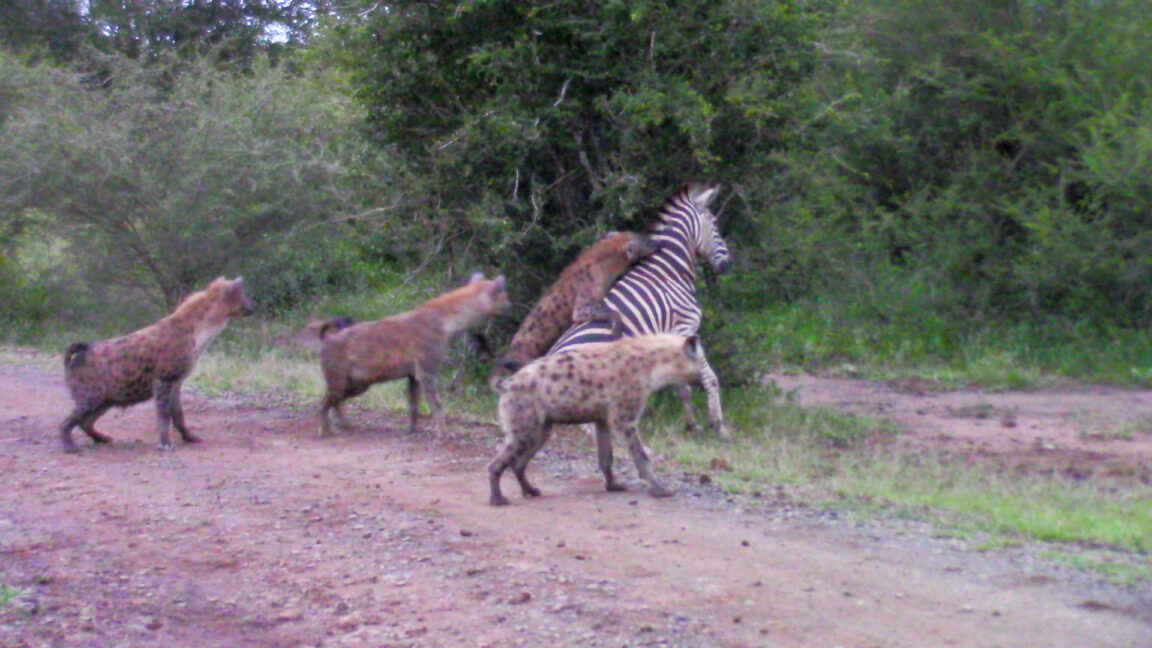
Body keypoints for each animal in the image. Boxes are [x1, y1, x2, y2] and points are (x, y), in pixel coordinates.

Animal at [548, 182, 732, 438]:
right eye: (714, 224)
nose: (728, 264)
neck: (671, 270)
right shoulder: (685, 328)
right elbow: (708, 377)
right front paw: (719, 426)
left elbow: (682, 387)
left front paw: (692, 425)